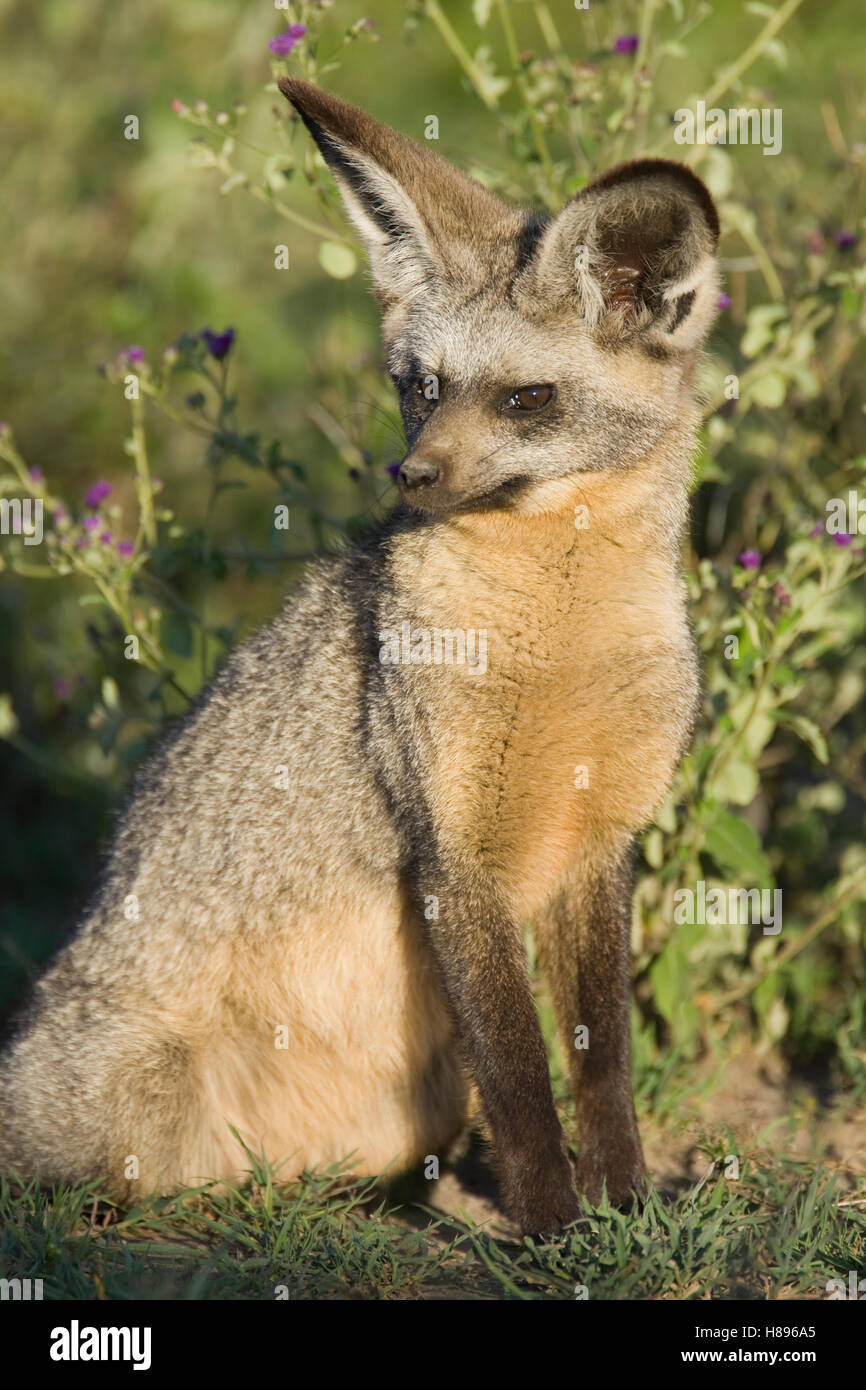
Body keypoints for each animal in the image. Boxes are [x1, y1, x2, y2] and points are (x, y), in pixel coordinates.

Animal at [0, 79, 719, 1236]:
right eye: (420, 387)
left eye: (526, 399)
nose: (409, 475)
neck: (555, 654)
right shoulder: (454, 855)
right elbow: (522, 1072)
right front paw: (554, 1227)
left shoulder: (600, 841)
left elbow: (598, 1059)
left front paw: (624, 1208)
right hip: (127, 1128)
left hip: (400, 1112)